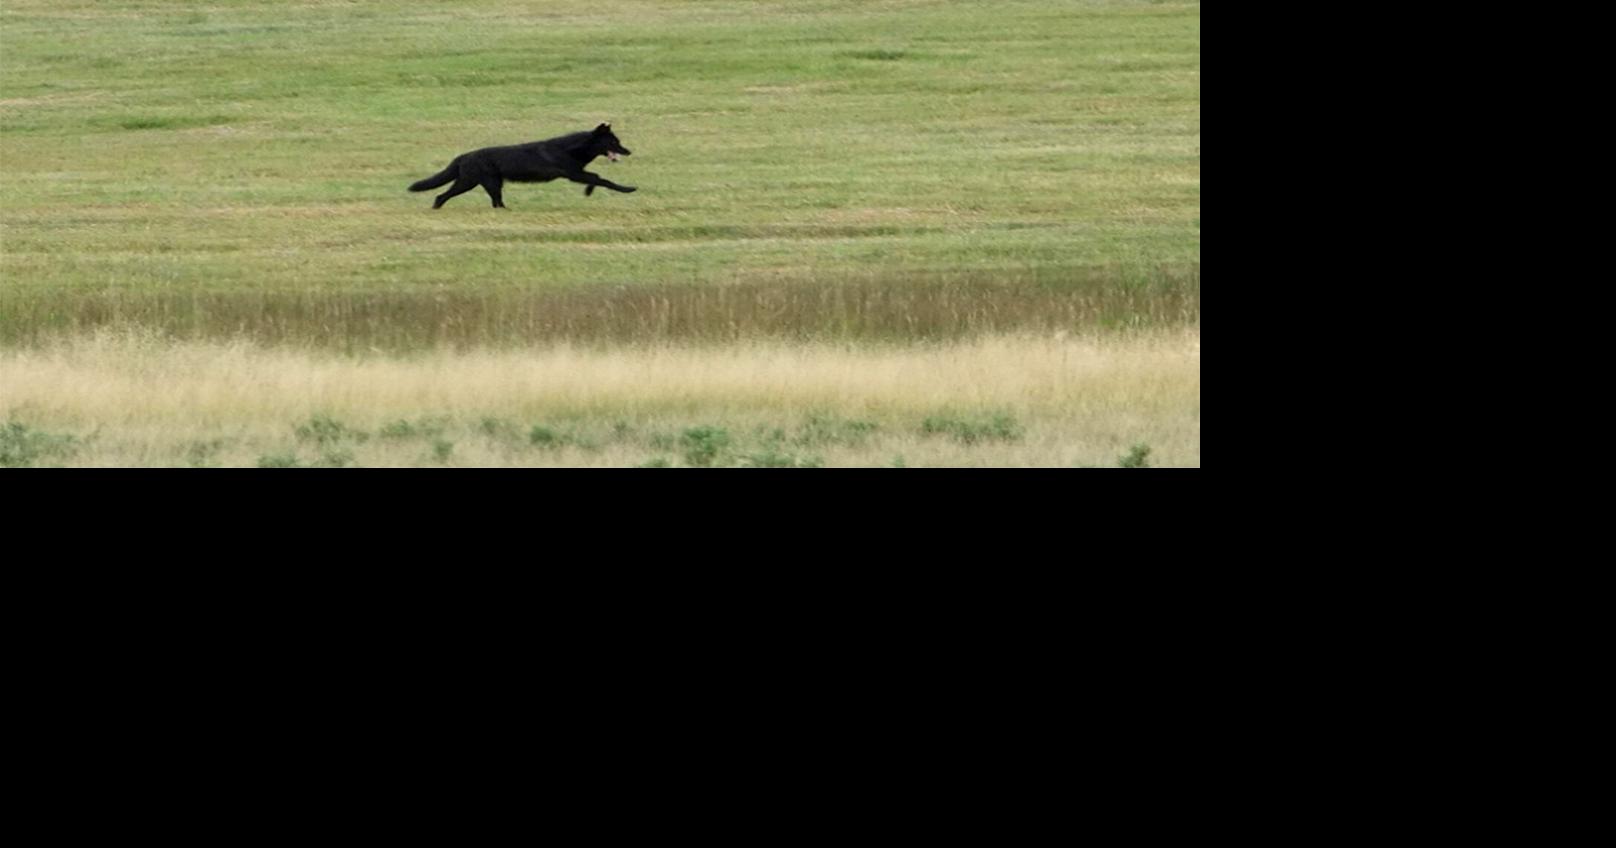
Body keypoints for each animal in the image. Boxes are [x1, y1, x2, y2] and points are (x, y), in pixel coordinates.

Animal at [408, 123, 636, 209]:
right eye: (614, 142)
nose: (629, 152)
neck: (572, 148)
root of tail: (463, 156)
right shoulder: (574, 174)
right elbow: (601, 179)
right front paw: (628, 189)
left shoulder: (578, 173)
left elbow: (597, 178)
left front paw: (589, 191)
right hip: (471, 183)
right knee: (441, 195)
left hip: (490, 184)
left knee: (496, 203)